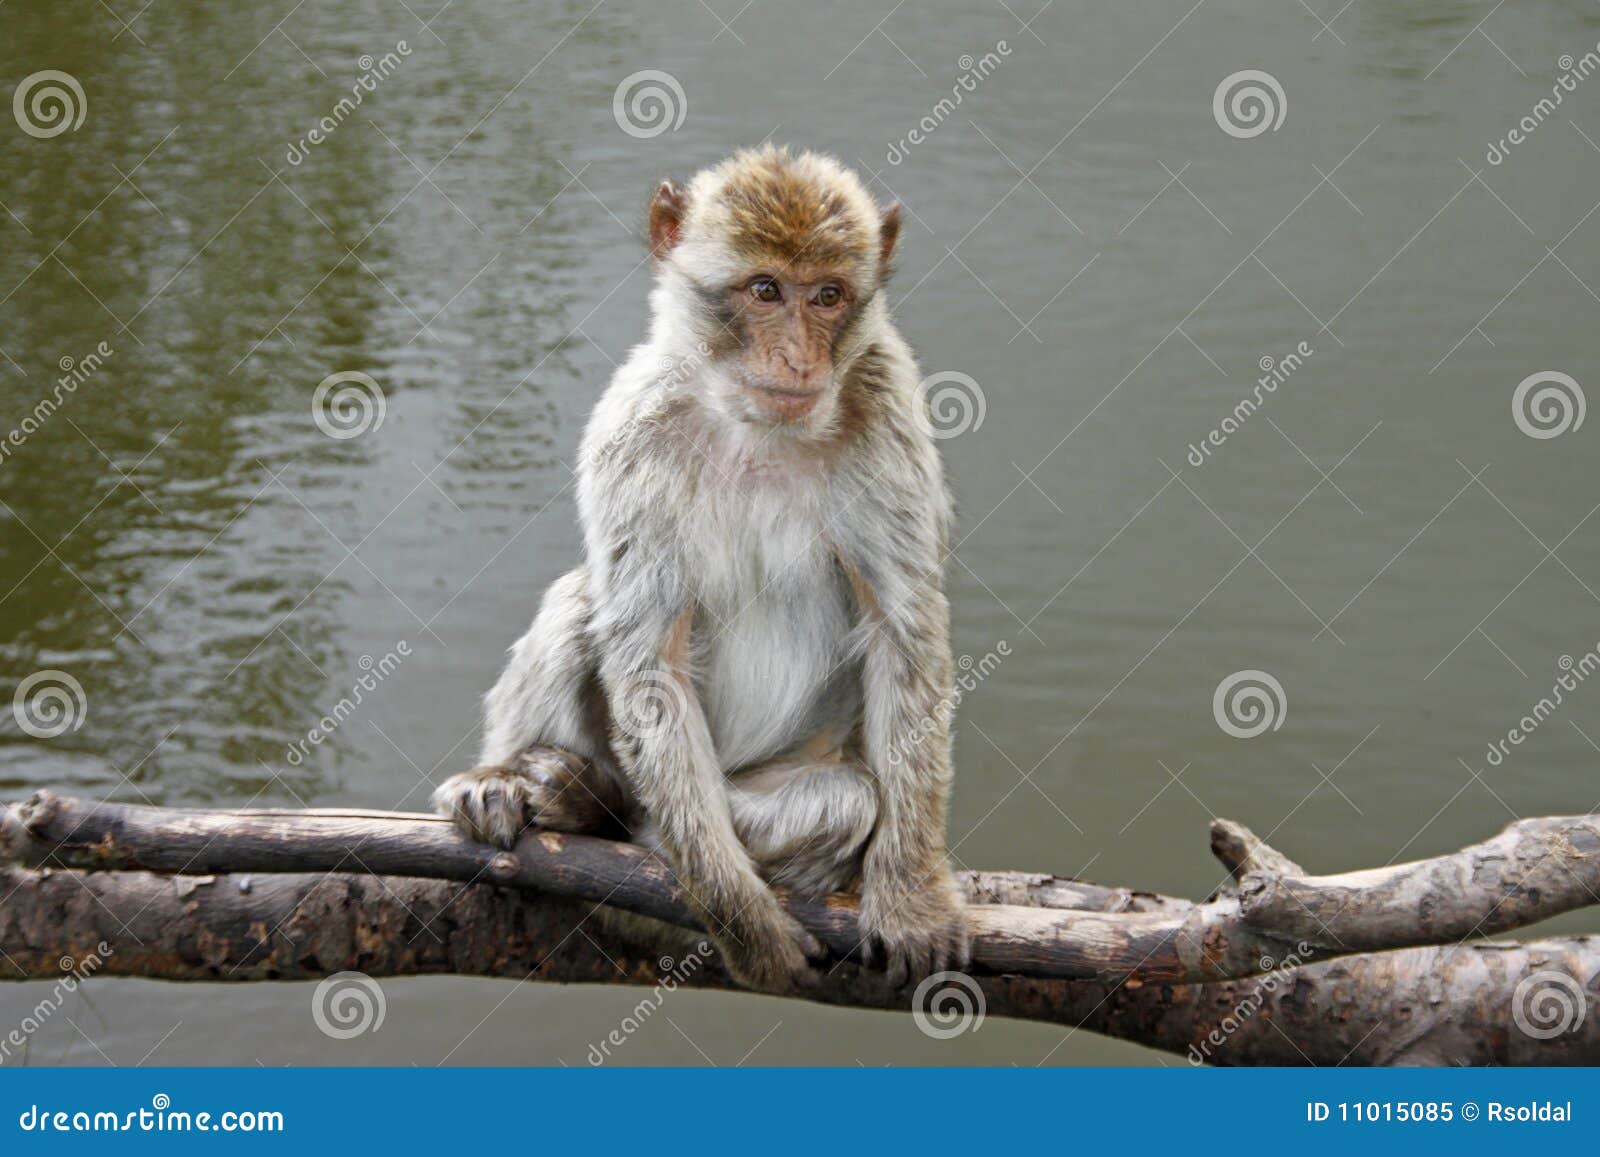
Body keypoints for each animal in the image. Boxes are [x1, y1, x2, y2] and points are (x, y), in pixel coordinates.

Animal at [432, 145, 968, 993]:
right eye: (764, 290)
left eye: (827, 296)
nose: (798, 356)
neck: (756, 426)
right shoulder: (632, 429)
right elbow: (650, 658)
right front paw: (740, 917)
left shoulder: (889, 409)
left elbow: (902, 632)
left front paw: (911, 895)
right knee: (584, 600)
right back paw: (534, 788)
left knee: (843, 799)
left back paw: (612, 813)